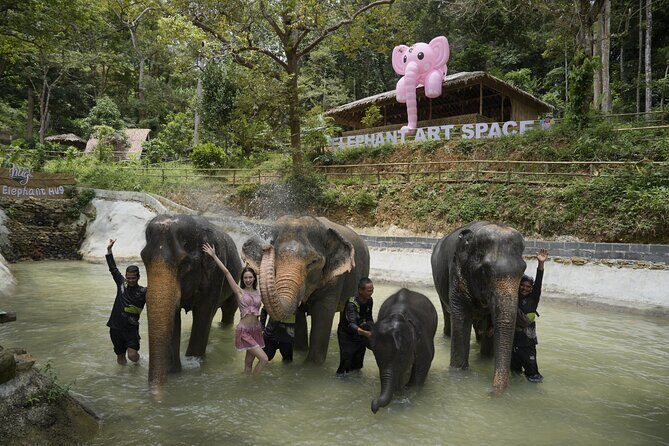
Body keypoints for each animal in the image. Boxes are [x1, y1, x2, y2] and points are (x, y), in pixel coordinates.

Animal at [140, 214, 242, 386]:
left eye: (183, 263)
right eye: (143, 259)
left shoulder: (216, 274)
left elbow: (203, 314)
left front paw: (194, 362)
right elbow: (174, 317)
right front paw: (173, 371)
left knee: (229, 309)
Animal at [242, 215, 369, 365]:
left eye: (313, 262)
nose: (267, 246)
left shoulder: (334, 280)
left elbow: (322, 313)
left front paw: (312, 366)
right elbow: (297, 315)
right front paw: (299, 353)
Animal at [431, 221, 526, 395]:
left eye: (523, 270)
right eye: (485, 270)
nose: (491, 391)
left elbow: (489, 323)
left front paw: (485, 359)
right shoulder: (457, 274)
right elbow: (461, 318)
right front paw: (458, 373)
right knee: (447, 314)